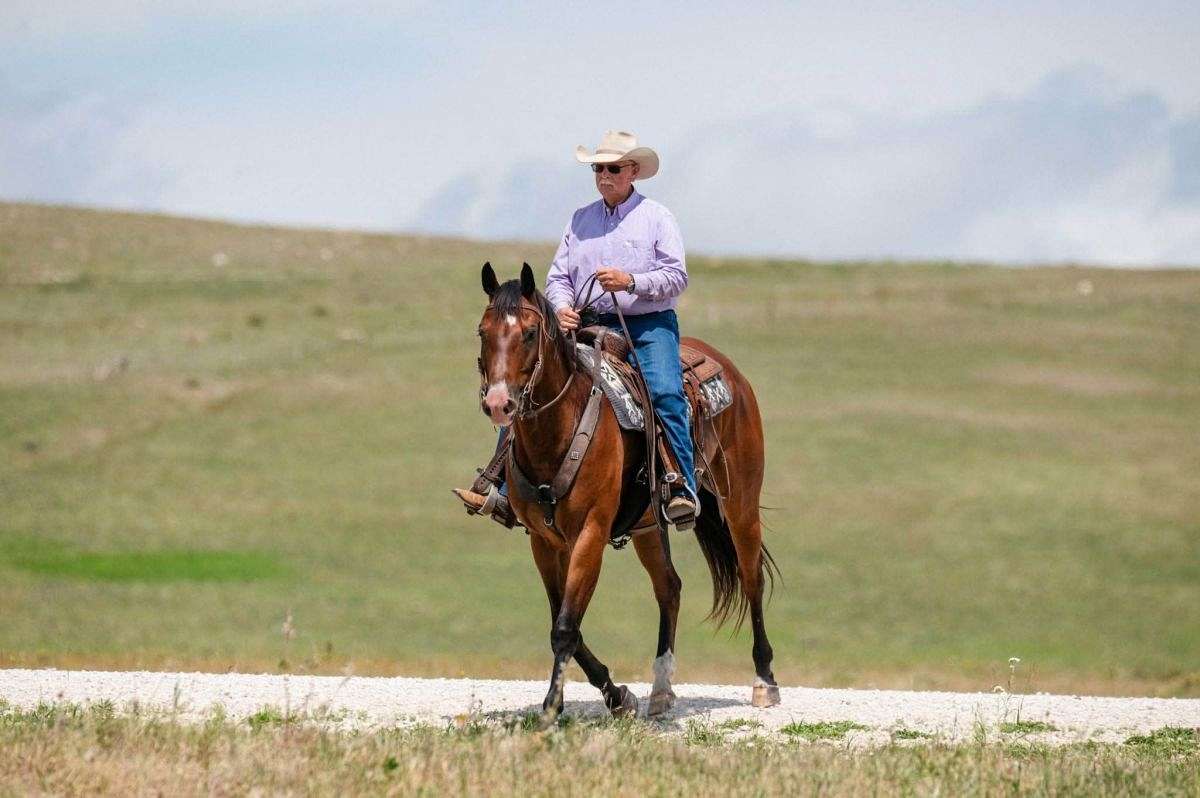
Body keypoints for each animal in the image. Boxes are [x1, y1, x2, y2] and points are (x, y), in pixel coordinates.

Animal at [475, 262, 779, 722]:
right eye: (483, 331)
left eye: (528, 332)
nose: (498, 404)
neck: (559, 431)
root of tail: (730, 372)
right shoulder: (544, 541)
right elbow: (564, 621)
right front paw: (616, 695)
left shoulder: (590, 533)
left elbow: (566, 627)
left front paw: (552, 709)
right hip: (648, 526)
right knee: (669, 587)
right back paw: (661, 689)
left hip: (740, 502)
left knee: (751, 579)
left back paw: (764, 681)